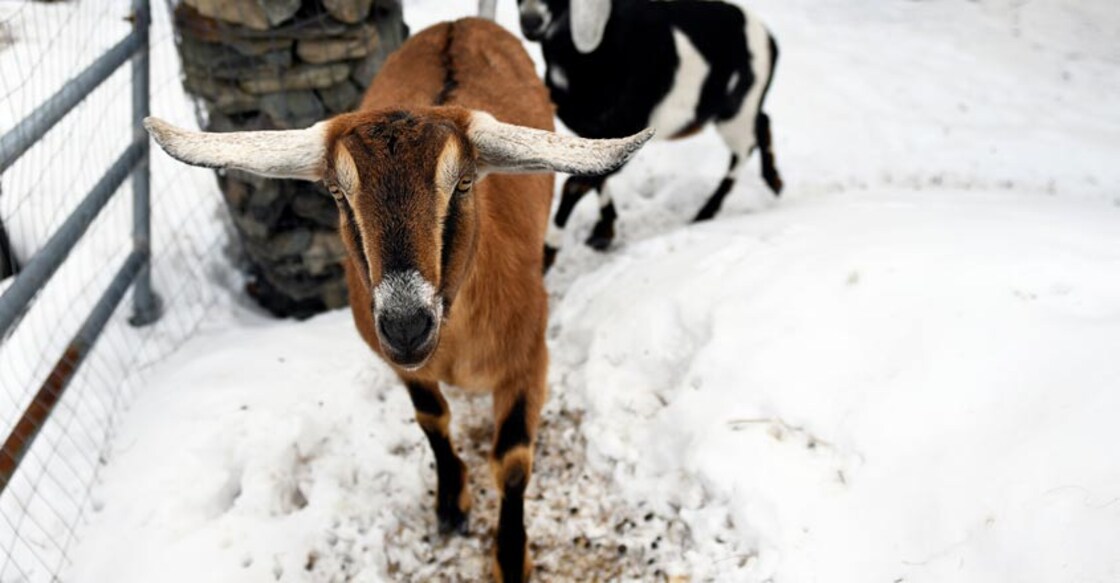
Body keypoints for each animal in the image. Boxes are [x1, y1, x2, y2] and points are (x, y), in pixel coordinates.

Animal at [144, 18, 651, 582]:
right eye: (337, 192)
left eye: (464, 183)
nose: (407, 325)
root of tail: (458, 22)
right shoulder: (402, 365)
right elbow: (432, 420)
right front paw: (451, 506)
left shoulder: (528, 359)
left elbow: (513, 460)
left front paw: (510, 558)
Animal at [518, 0, 783, 270]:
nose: (531, 22)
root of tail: (769, 39)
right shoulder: (593, 134)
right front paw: (603, 232)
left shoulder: (627, 130)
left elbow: (575, 184)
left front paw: (548, 255)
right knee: (763, 121)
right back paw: (774, 182)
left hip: (738, 112)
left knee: (743, 149)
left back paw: (706, 212)